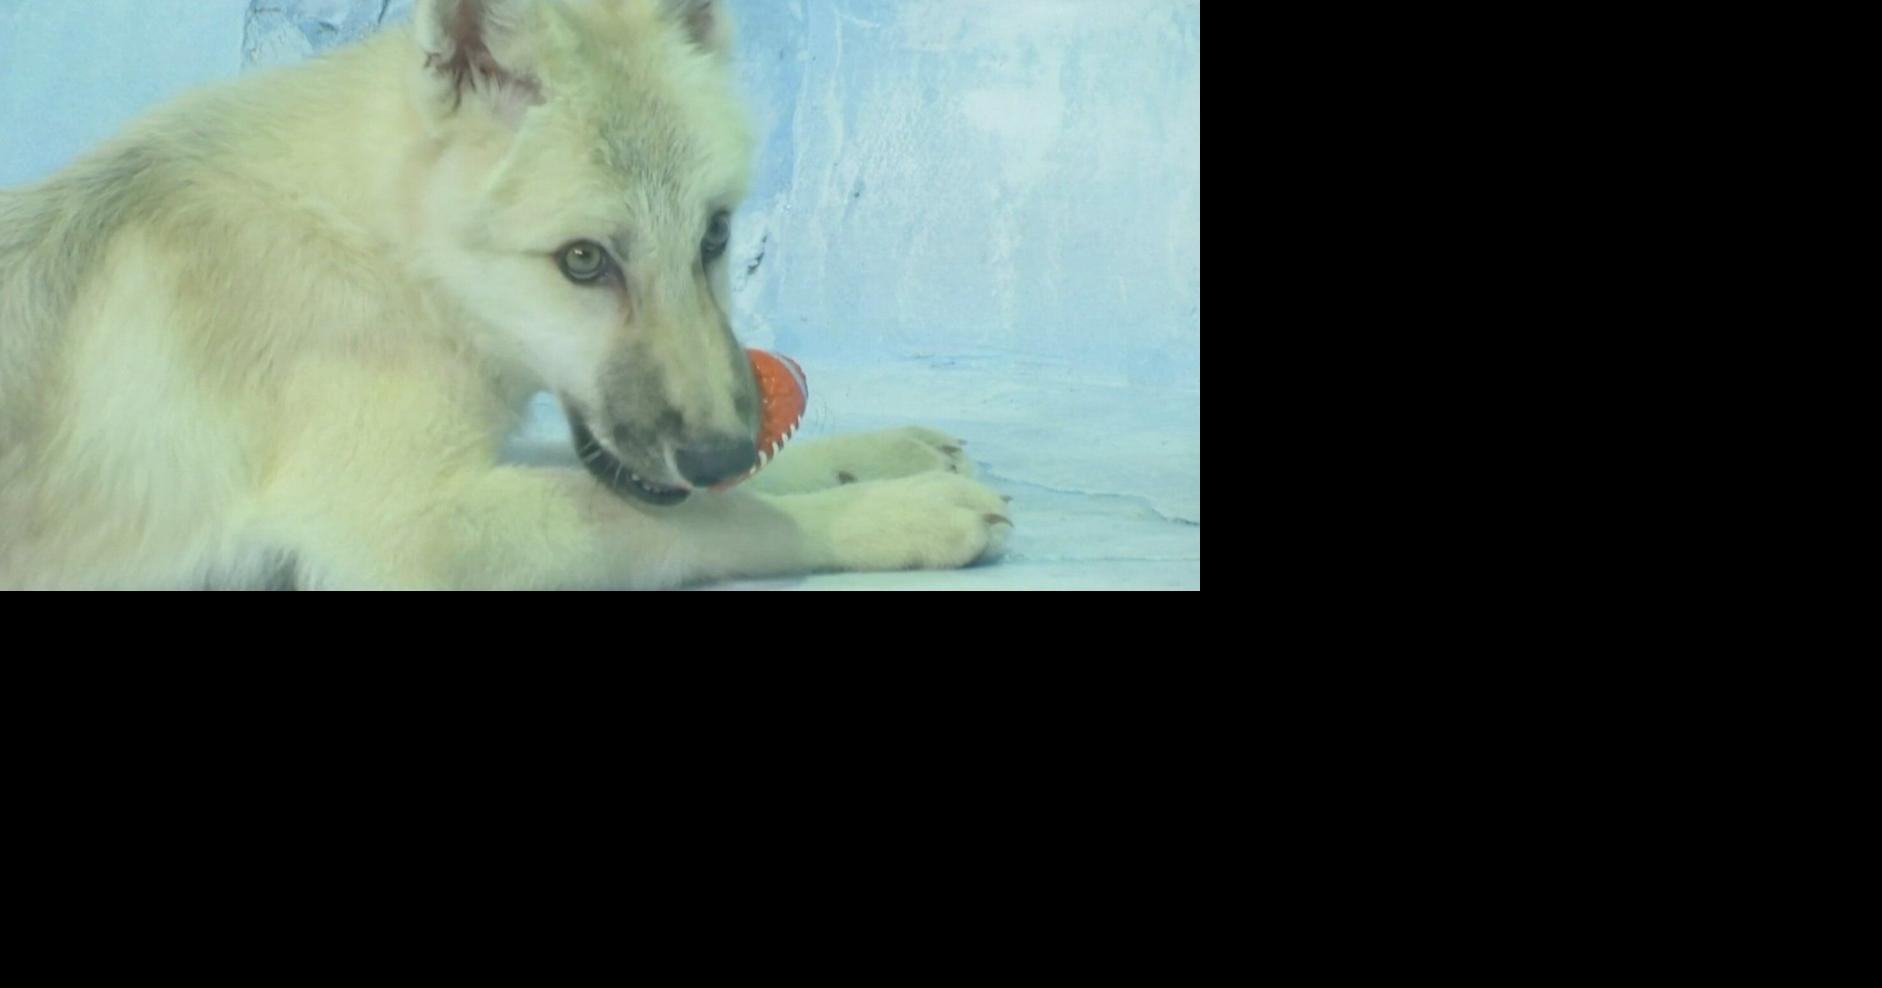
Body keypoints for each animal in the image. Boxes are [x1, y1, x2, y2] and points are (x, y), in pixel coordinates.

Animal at [0, 0, 1011, 589]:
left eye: (715, 236)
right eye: (584, 262)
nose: (721, 452)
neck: (379, 243)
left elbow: (676, 485)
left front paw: (869, 456)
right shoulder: (410, 526)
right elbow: (706, 516)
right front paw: (890, 514)